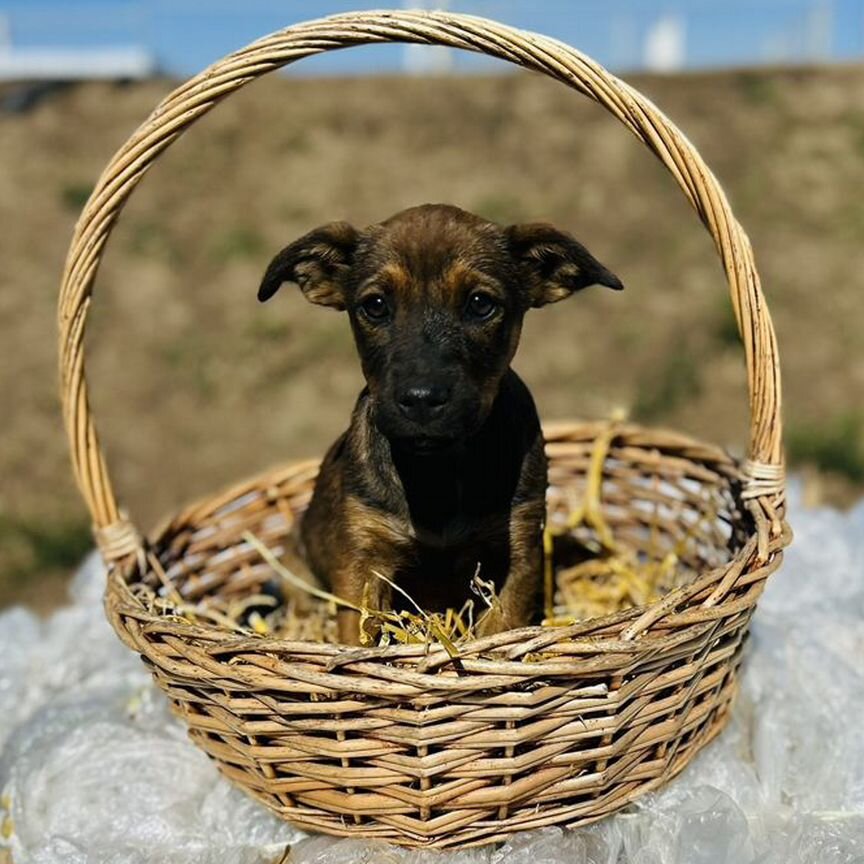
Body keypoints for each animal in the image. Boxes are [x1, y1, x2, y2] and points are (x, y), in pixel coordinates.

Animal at [256, 206, 620, 644]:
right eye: (375, 305)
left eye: (480, 303)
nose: (421, 400)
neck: (438, 470)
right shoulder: (362, 560)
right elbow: (361, 635)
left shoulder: (520, 550)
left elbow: (500, 626)